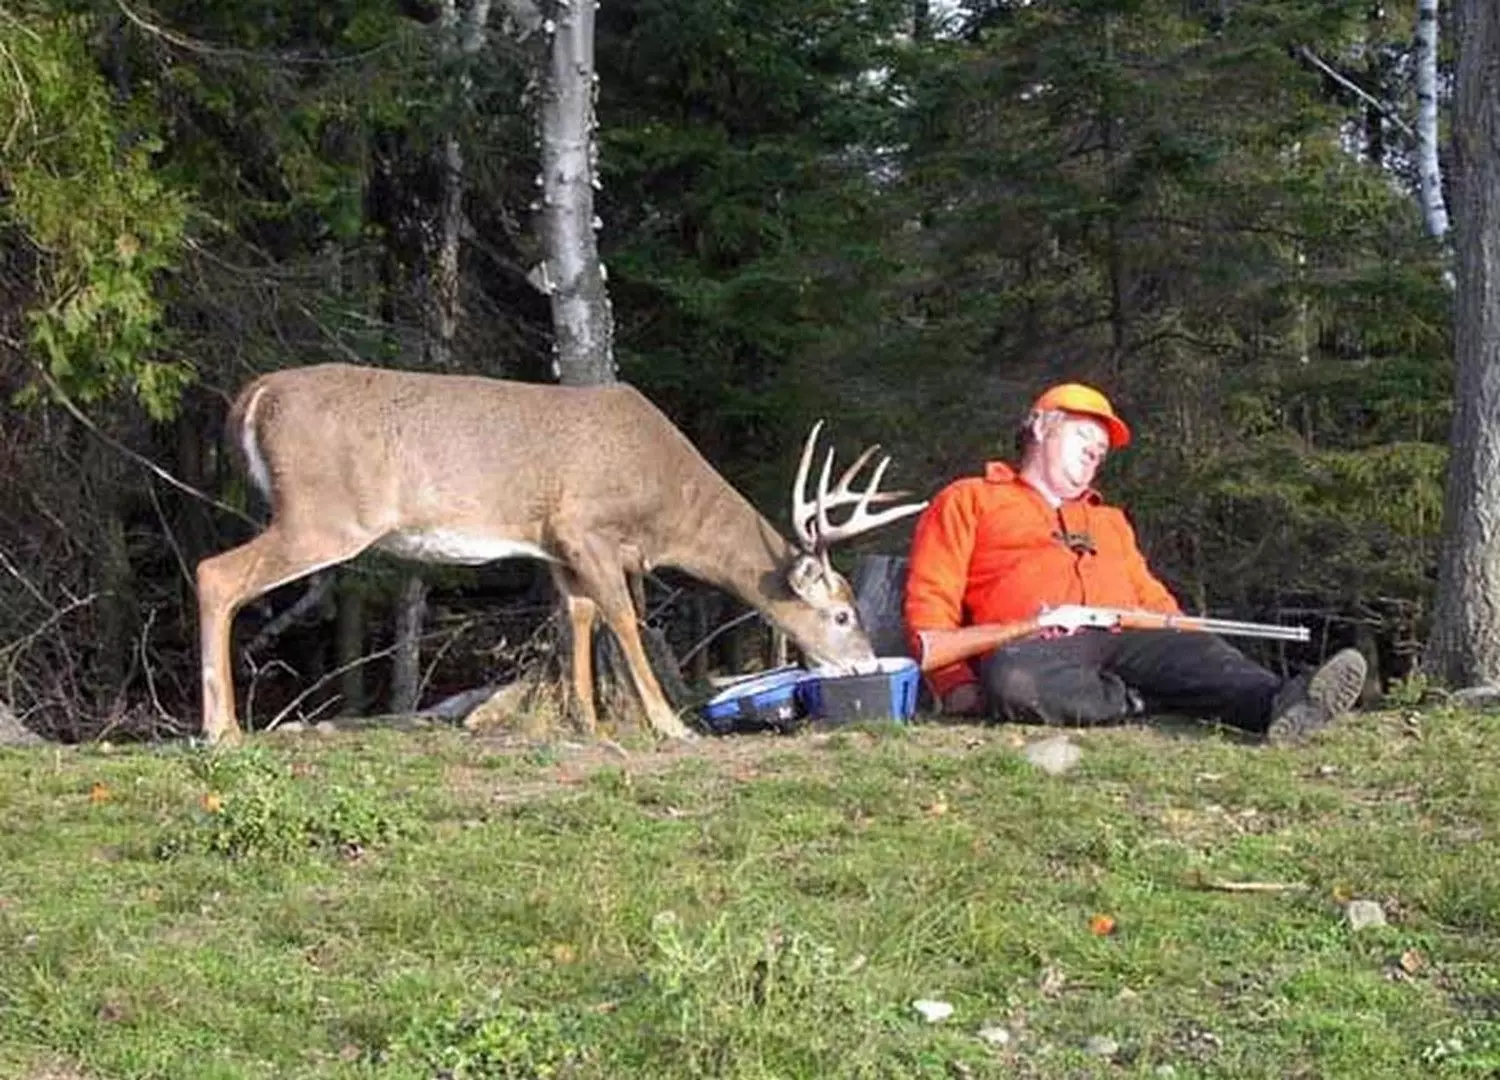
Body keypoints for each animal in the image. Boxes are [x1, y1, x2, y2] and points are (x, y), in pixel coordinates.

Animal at [196, 363, 924, 744]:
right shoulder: (586, 526)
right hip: (326, 512)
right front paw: (669, 724)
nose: (865, 665)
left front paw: (590, 721)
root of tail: (255, 394)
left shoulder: (556, 546)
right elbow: (626, 619)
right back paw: (223, 729)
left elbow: (579, 618)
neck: (665, 503)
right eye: (842, 614)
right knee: (214, 573)